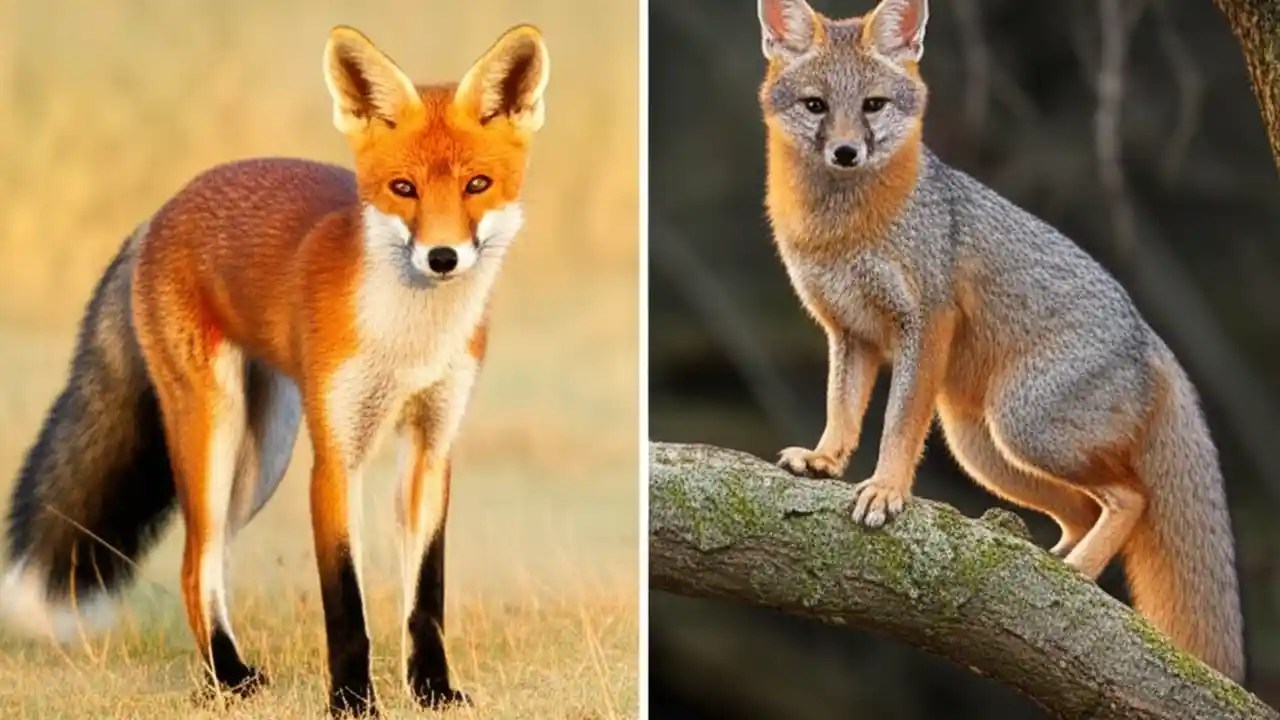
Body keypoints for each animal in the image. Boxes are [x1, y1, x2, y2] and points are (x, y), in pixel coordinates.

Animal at [1, 23, 549, 717]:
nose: (443, 257)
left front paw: (434, 692)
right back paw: (228, 678)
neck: (409, 340)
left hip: (262, 459)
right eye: (404, 189)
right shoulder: (335, 457)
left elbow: (426, 598)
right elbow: (346, 606)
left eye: (478, 184)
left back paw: (223, 672)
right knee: (193, 562)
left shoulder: (432, 446)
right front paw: (351, 703)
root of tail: (160, 211)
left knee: (212, 562)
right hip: (216, 432)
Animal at [757, 0, 1245, 682]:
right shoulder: (850, 333)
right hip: (983, 450)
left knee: (1133, 498)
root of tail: (1150, 335)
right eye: (816, 106)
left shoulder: (925, 322)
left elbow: (897, 426)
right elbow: (842, 411)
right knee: (1083, 510)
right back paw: (1054, 563)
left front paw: (886, 491)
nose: (847, 152)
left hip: (1022, 427)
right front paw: (825, 460)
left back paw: (1079, 572)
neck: (842, 231)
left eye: (874, 105)